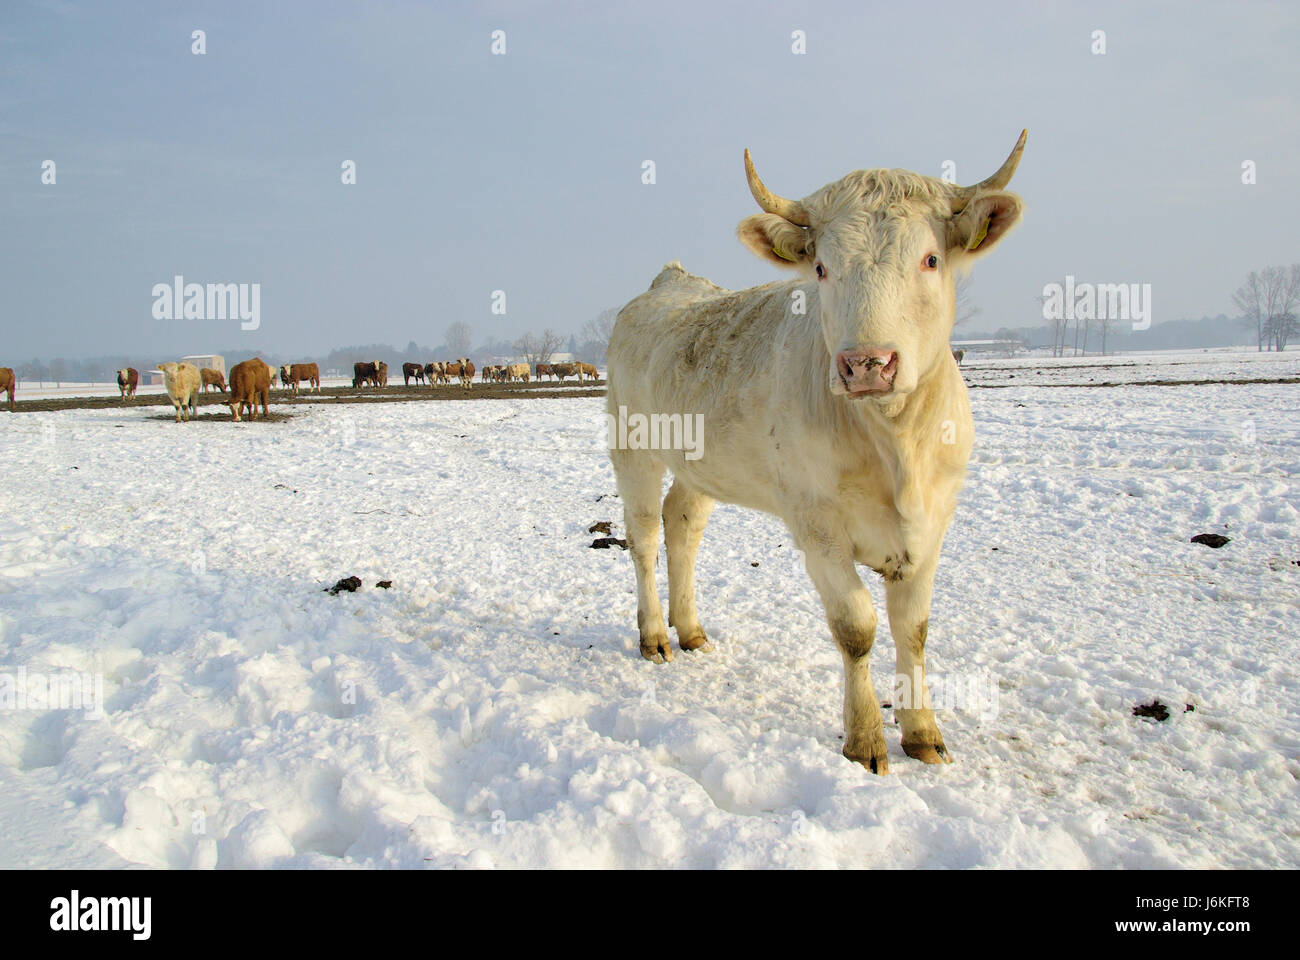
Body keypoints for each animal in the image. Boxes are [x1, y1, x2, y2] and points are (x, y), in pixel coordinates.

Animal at [605, 133, 1026, 774]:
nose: (867, 364)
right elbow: (857, 626)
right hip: (633, 448)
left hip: (699, 463)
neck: (896, 447)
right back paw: (654, 634)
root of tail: (668, 282)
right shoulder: (816, 522)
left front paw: (923, 733)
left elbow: (914, 628)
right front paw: (866, 740)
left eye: (931, 259)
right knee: (646, 535)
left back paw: (691, 628)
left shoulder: (935, 520)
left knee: (684, 527)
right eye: (822, 268)